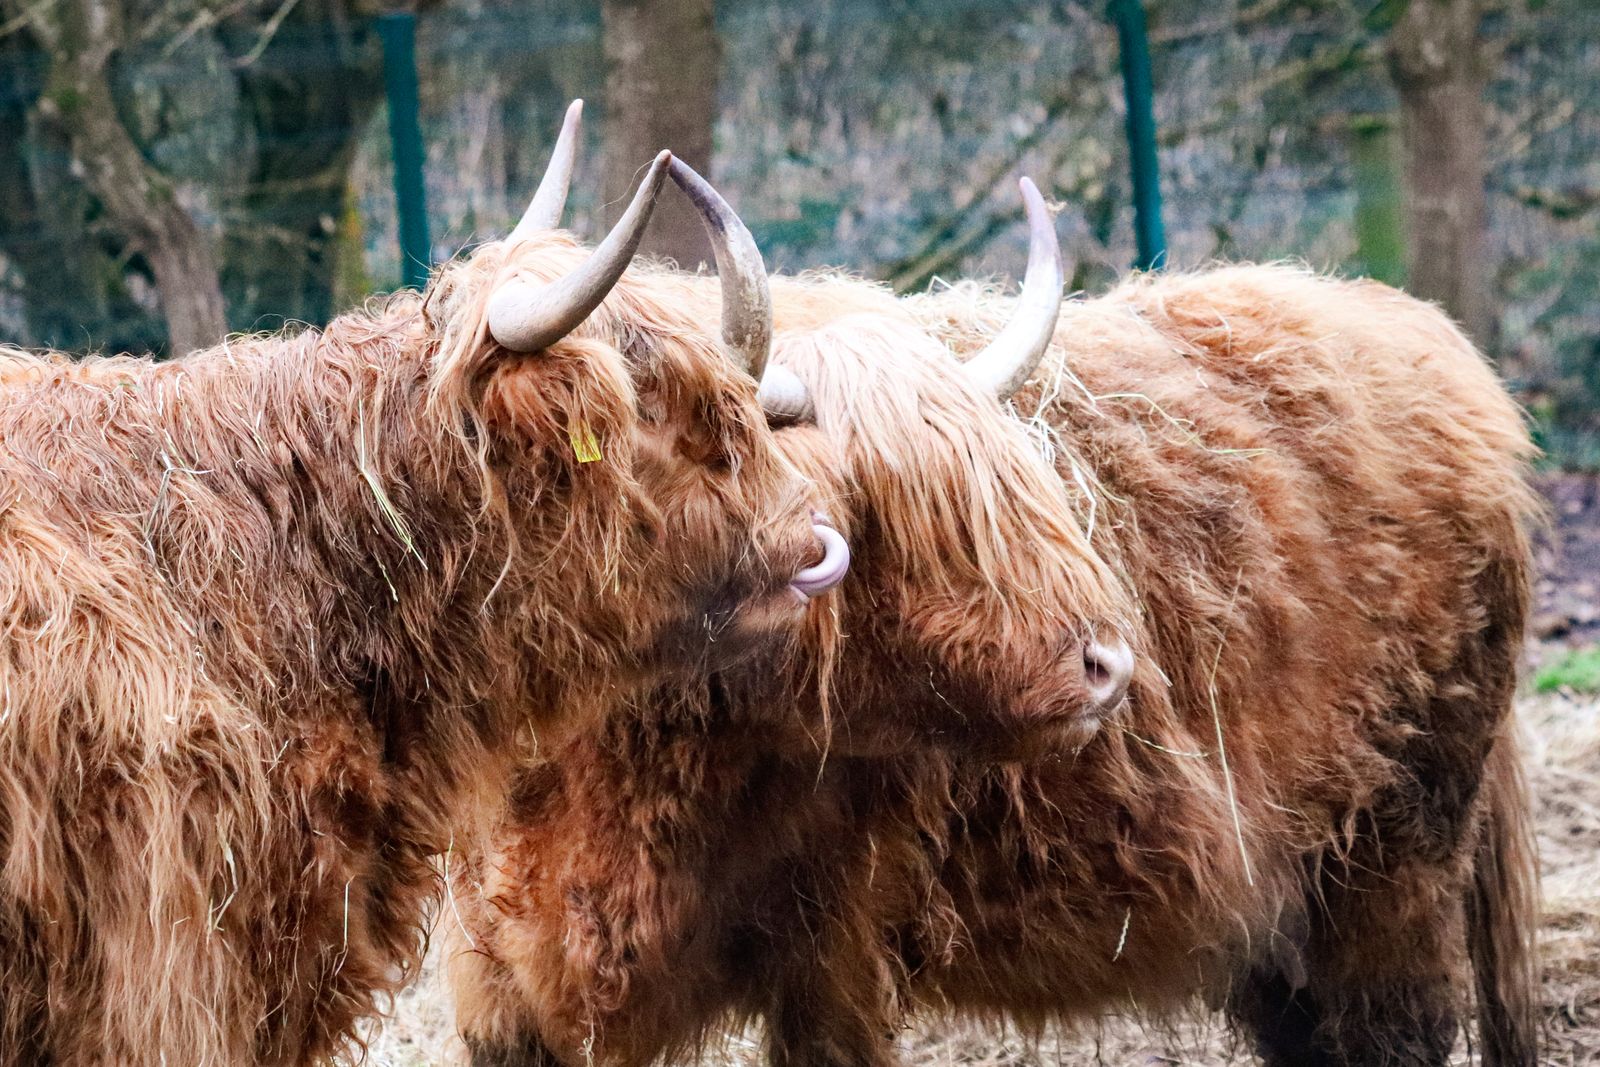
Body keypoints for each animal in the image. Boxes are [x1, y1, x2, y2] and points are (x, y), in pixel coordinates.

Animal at [447, 200, 1540, 1067]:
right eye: (895, 516)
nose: (1109, 664)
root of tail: (1424, 332)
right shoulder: (497, 976)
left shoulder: (835, 959)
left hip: (1396, 856)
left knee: (1392, 1024)